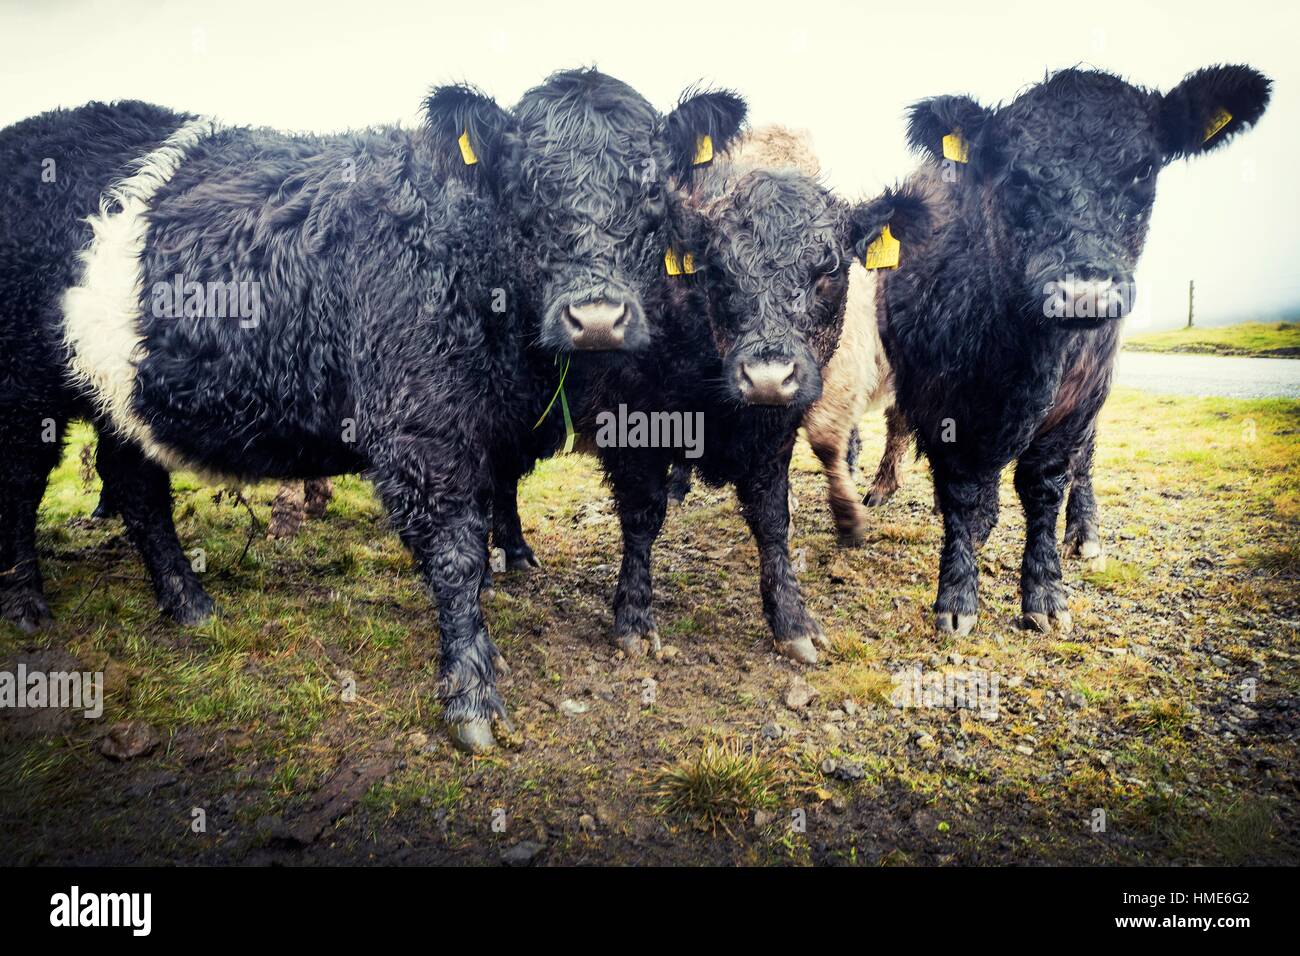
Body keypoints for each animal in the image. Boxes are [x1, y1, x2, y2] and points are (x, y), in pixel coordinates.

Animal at [0, 69, 746, 752]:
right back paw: (26, 607)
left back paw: (190, 604)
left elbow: (523, 514)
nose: (596, 318)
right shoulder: (421, 428)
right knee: (21, 488)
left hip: (121, 398)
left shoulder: (519, 424)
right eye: (524, 189)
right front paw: (472, 697)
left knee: (136, 487)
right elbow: (455, 553)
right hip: (18, 392)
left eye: (652, 189)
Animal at [878, 66, 1271, 636]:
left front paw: (1045, 595)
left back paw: (1085, 535)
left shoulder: (1073, 405)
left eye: (1143, 169)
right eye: (1014, 175)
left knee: (1084, 460)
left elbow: (1044, 486)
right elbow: (960, 489)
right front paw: (957, 596)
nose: (1082, 292)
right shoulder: (933, 398)